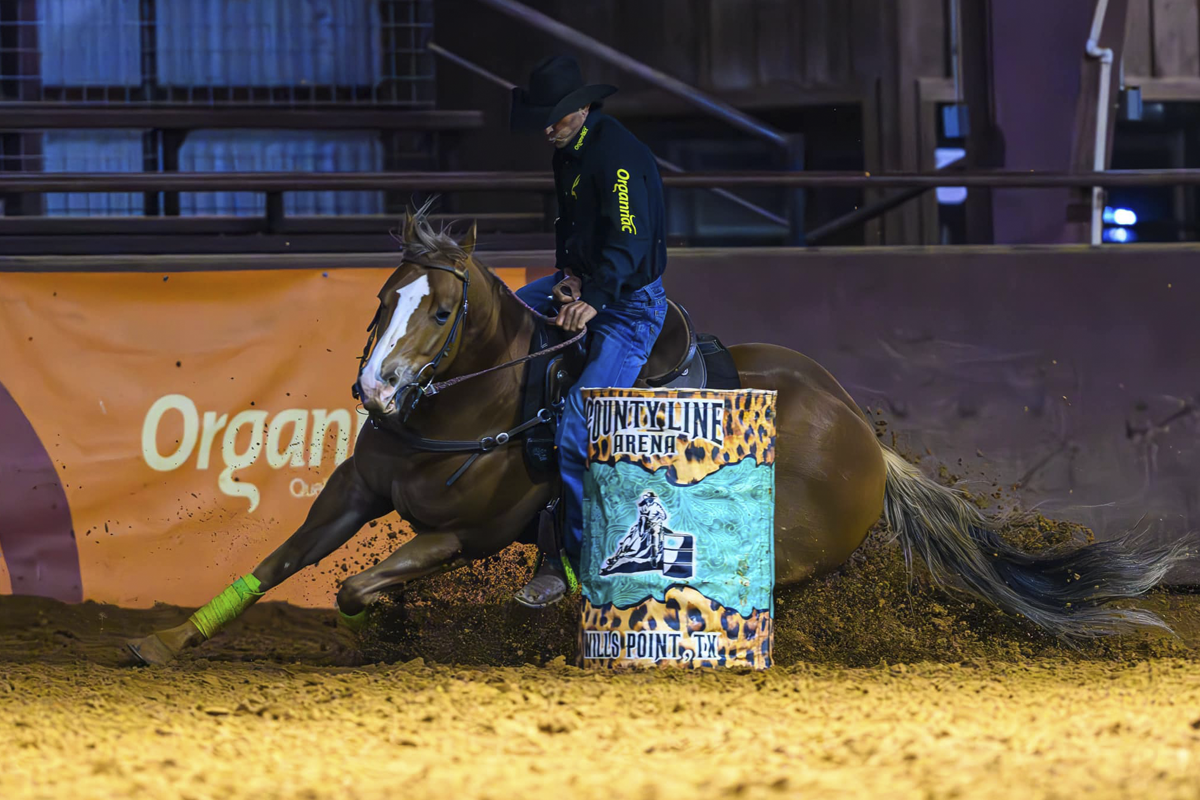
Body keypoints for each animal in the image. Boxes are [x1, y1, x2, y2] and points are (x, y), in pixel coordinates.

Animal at [126, 204, 1191, 665]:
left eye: (442, 310)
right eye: (385, 297)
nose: (374, 389)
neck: (477, 404)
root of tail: (865, 438)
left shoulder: (464, 535)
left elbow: (356, 581)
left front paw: (379, 616)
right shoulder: (357, 491)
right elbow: (283, 558)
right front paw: (172, 638)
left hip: (778, 548)